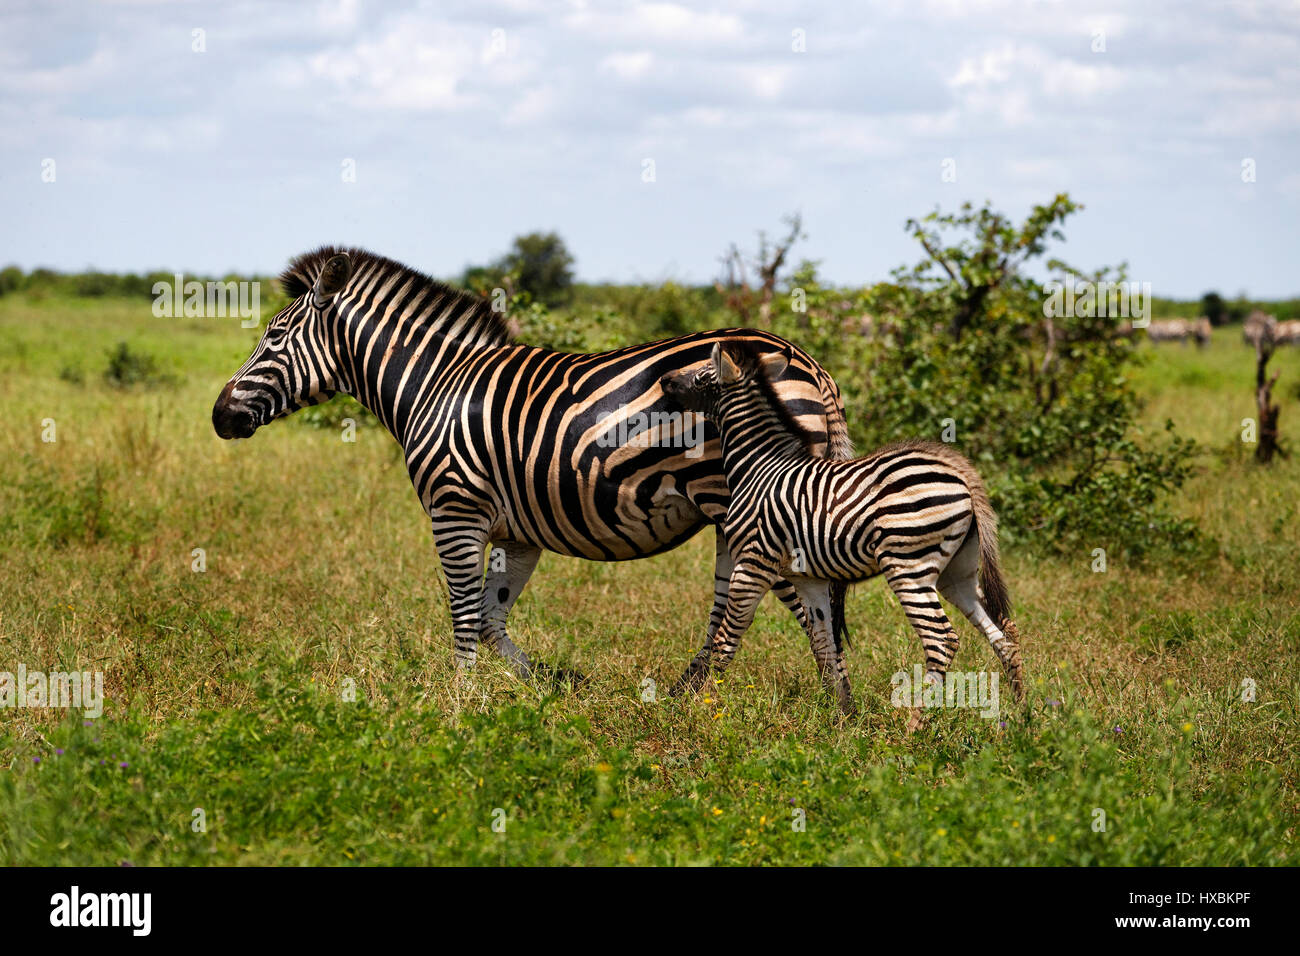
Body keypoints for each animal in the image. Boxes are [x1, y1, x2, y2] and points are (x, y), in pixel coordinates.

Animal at [211, 247, 853, 683]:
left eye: (273, 338)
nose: (220, 416)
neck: (434, 385)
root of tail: (810, 364)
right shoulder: (516, 532)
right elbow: (491, 617)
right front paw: (545, 685)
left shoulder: (455, 511)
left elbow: (464, 613)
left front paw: (459, 699)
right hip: (735, 513)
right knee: (744, 605)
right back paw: (700, 696)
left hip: (759, 508)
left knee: (801, 608)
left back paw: (817, 712)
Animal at [659, 339, 1025, 728]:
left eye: (702, 374)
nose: (664, 379)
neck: (759, 467)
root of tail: (959, 473)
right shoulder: (809, 578)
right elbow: (824, 643)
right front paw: (843, 718)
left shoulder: (753, 563)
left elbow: (727, 638)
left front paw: (705, 707)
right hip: (956, 573)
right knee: (1003, 630)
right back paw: (1019, 714)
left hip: (908, 567)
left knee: (941, 640)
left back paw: (914, 725)